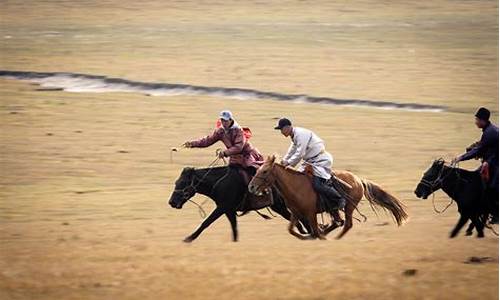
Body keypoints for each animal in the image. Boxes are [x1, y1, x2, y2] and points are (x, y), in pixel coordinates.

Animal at [170, 165, 306, 243]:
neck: (219, 182)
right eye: (176, 182)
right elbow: (234, 228)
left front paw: (189, 238)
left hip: (280, 206)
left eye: (183, 183)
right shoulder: (229, 210)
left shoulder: (222, 207)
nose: (171, 202)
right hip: (280, 207)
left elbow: (206, 222)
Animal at [248, 156, 408, 240]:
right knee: (338, 222)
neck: (296, 186)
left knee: (347, 224)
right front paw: (310, 236)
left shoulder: (310, 213)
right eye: (258, 169)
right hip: (334, 209)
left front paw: (318, 235)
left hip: (349, 207)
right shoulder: (296, 213)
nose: (251, 187)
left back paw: (334, 239)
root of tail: (358, 180)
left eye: (265, 171)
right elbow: (292, 230)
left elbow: (314, 230)